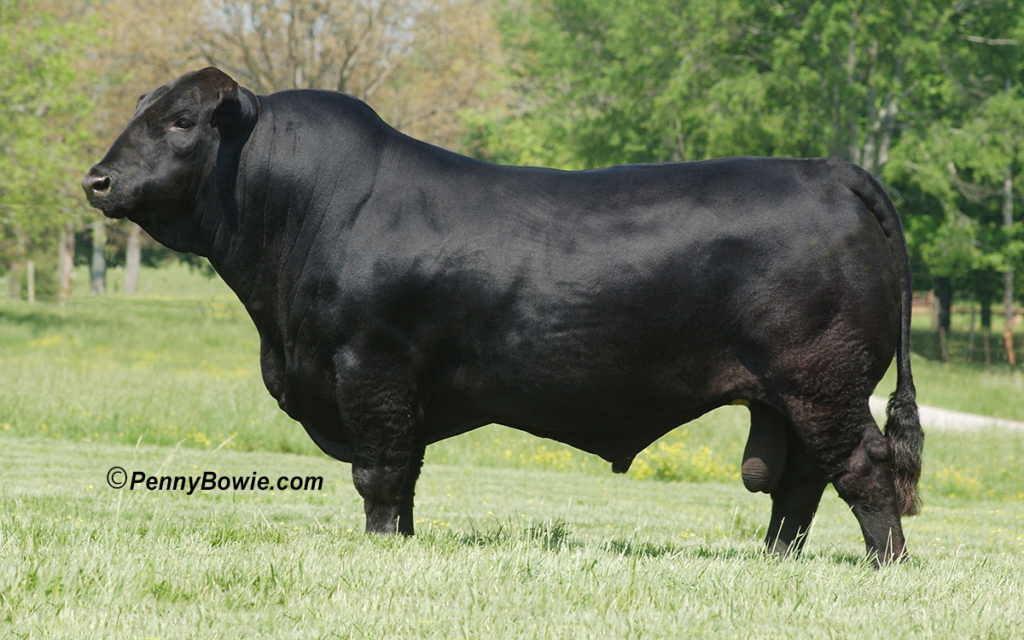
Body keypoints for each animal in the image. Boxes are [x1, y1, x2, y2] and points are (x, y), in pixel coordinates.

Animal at [83, 68, 923, 565]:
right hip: (790, 395)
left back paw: (886, 564)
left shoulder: (373, 369)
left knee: (864, 467)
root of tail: (827, 171)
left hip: (823, 380)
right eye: (142, 109)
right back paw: (776, 561)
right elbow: (407, 477)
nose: (97, 180)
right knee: (799, 482)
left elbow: (380, 473)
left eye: (182, 120)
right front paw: (404, 544)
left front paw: (381, 549)